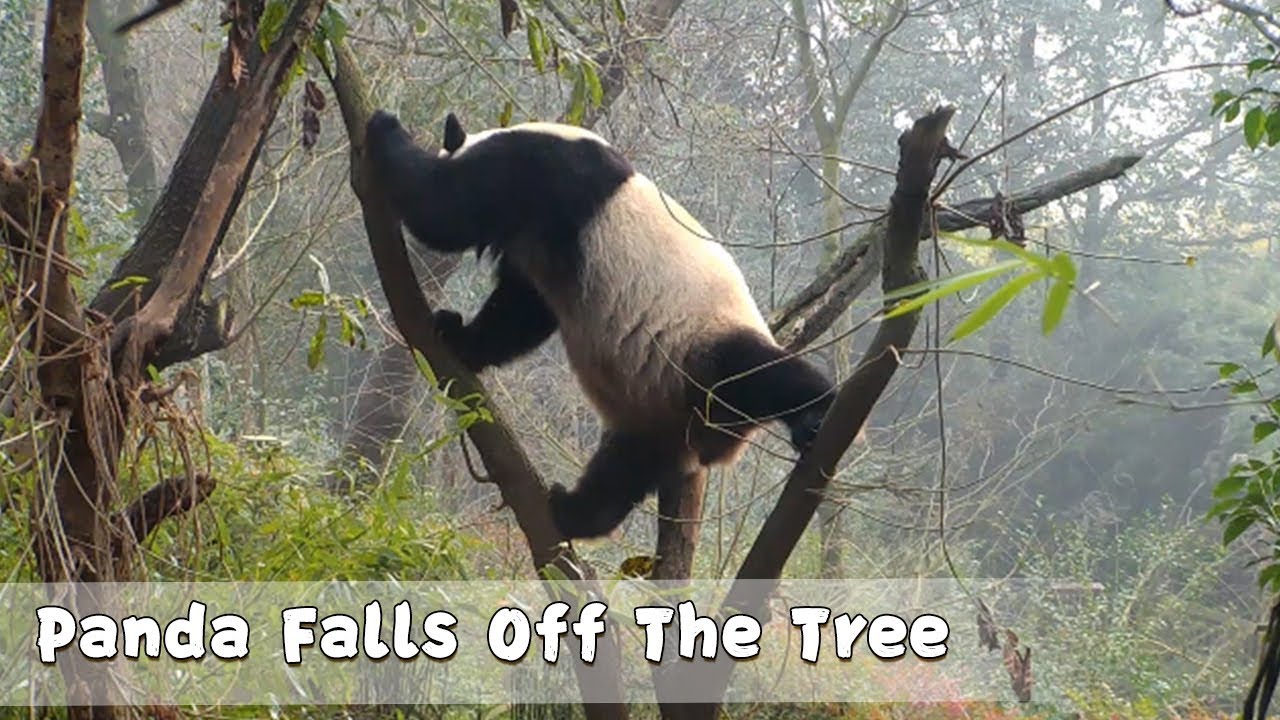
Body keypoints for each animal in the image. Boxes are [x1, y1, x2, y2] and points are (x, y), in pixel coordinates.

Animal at [364, 110, 835, 540]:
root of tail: (719, 437)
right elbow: (522, 309)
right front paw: (459, 337)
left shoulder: (537, 175)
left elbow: (448, 209)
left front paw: (382, 127)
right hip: (655, 414)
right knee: (624, 468)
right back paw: (572, 511)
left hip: (700, 344)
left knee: (759, 371)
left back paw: (816, 415)